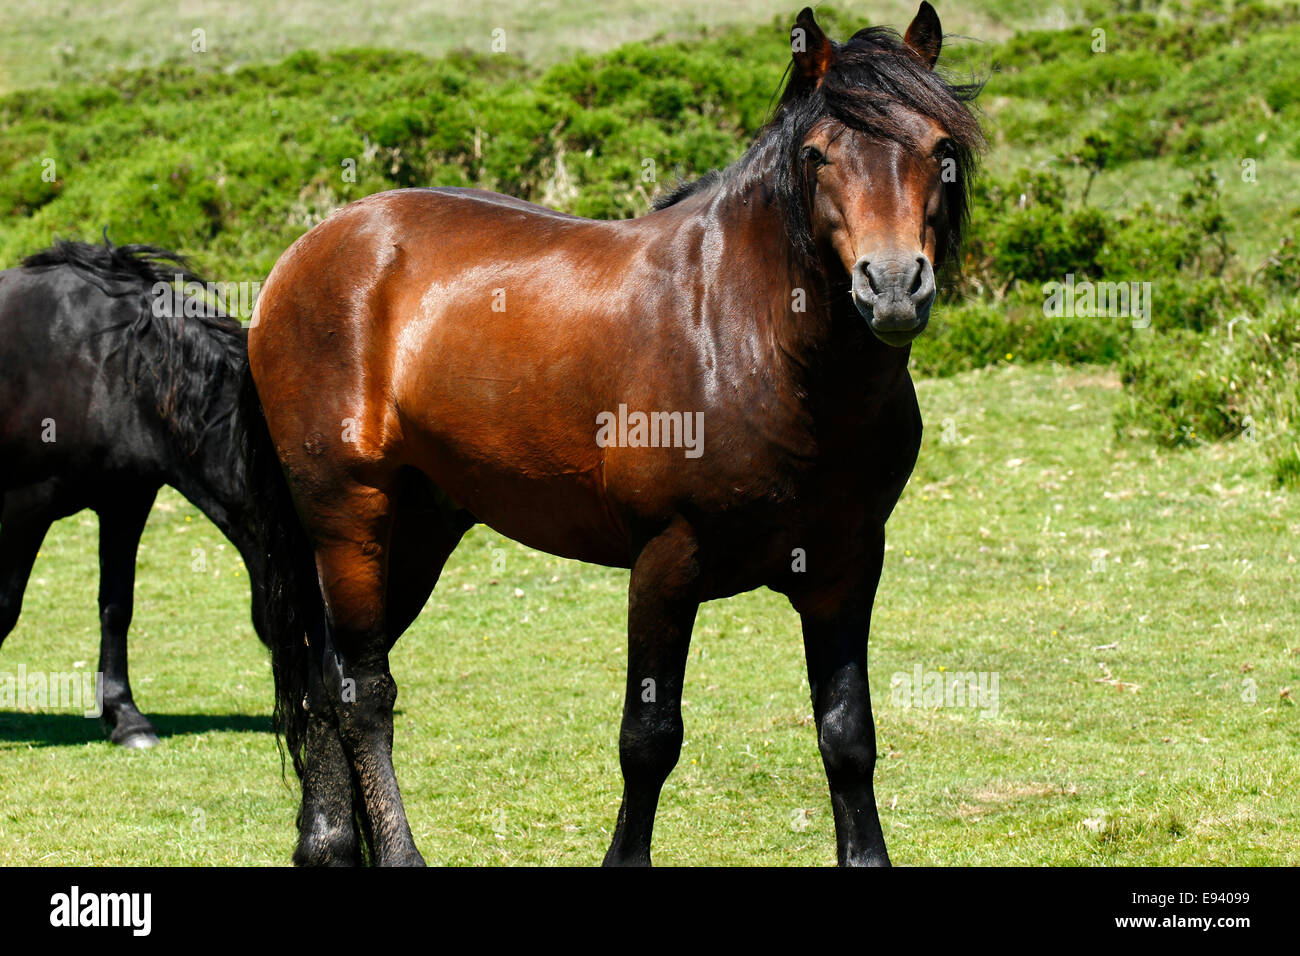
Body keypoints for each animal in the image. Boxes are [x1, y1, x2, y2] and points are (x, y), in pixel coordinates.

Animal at [245, 3, 984, 865]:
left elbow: (846, 734)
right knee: (363, 691)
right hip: (348, 514)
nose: (894, 286)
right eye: (816, 154)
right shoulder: (667, 561)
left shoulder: (846, 568)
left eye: (940, 149)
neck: (756, 347)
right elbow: (650, 737)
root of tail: (311, 251)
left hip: (420, 527)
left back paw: (324, 846)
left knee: (325, 682)